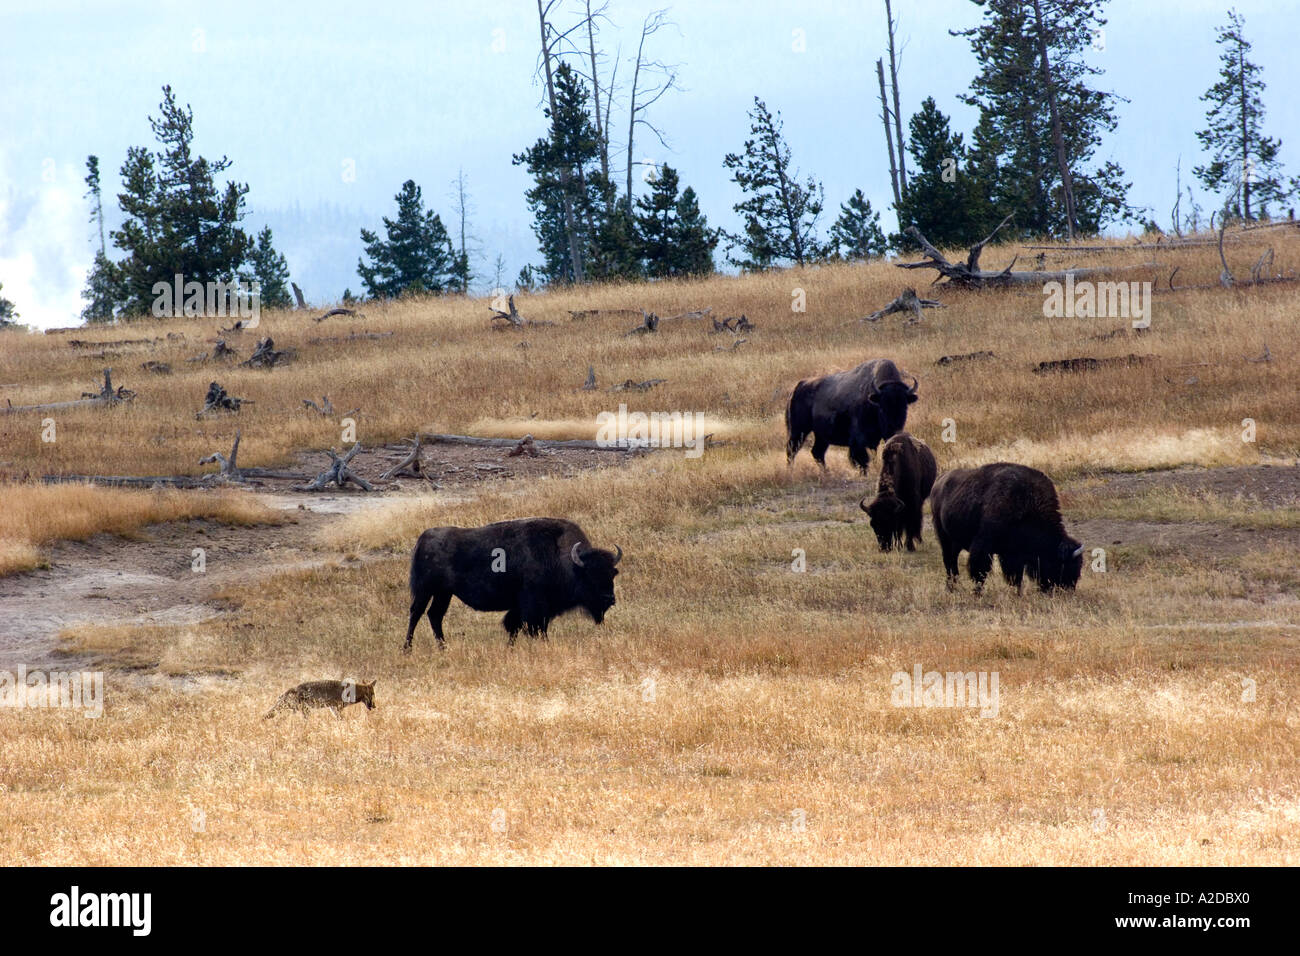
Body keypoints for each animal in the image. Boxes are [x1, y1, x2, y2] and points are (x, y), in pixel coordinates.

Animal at [404, 517, 622, 650]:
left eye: (612, 574)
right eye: (590, 575)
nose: (609, 599)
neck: (561, 556)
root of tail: (423, 538)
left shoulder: (523, 608)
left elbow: (514, 627)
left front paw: (510, 648)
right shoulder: (534, 607)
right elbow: (534, 629)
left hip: (444, 593)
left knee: (435, 615)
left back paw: (443, 648)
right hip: (425, 590)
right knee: (416, 613)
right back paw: (408, 649)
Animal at [786, 358, 918, 472]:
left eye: (905, 406)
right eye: (882, 407)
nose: (893, 430)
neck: (872, 400)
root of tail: (798, 387)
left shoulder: (873, 441)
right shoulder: (858, 441)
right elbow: (862, 460)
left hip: (821, 436)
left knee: (817, 452)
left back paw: (826, 473)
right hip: (799, 431)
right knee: (792, 450)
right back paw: (791, 471)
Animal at [930, 463, 1083, 594]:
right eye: (1063, 565)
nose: (1068, 589)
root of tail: (939, 482)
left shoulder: (1013, 553)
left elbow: (1016, 576)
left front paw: (1018, 592)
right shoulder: (984, 546)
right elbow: (980, 571)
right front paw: (977, 592)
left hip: (956, 542)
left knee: (952, 562)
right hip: (944, 538)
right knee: (949, 562)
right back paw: (951, 587)